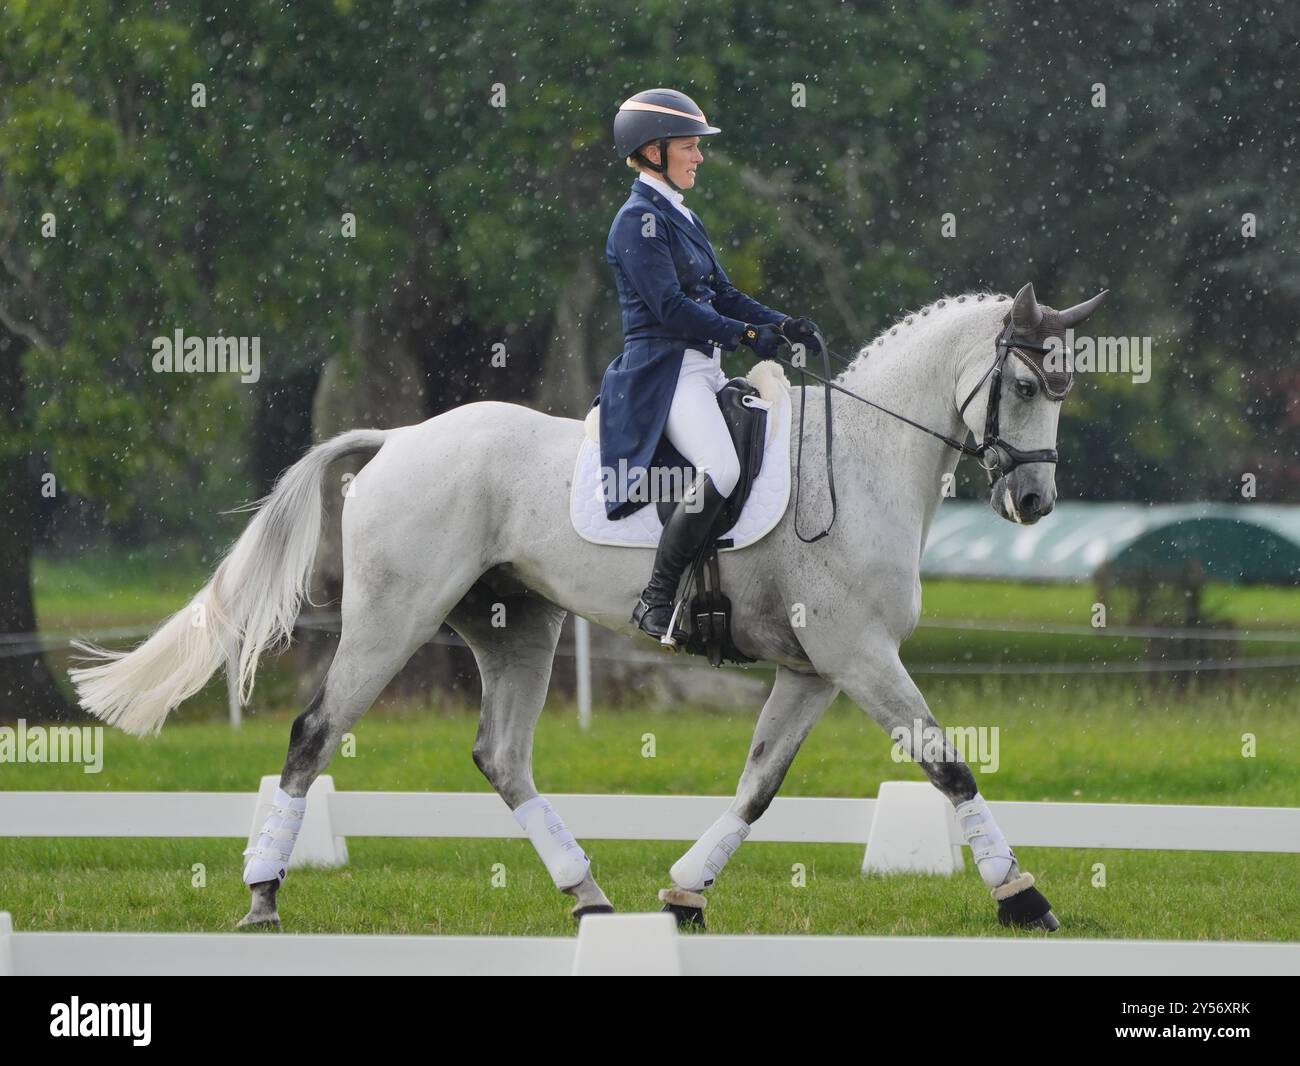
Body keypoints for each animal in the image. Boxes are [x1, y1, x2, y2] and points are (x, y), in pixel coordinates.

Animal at [71, 281, 1107, 932]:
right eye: (1022, 386)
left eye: (1065, 390)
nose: (1034, 503)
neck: (854, 464)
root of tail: (400, 437)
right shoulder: (859, 658)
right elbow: (949, 766)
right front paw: (1022, 897)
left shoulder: (816, 670)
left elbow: (758, 788)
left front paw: (685, 896)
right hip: (392, 620)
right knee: (314, 734)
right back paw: (263, 898)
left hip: (516, 628)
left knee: (502, 755)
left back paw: (588, 894)